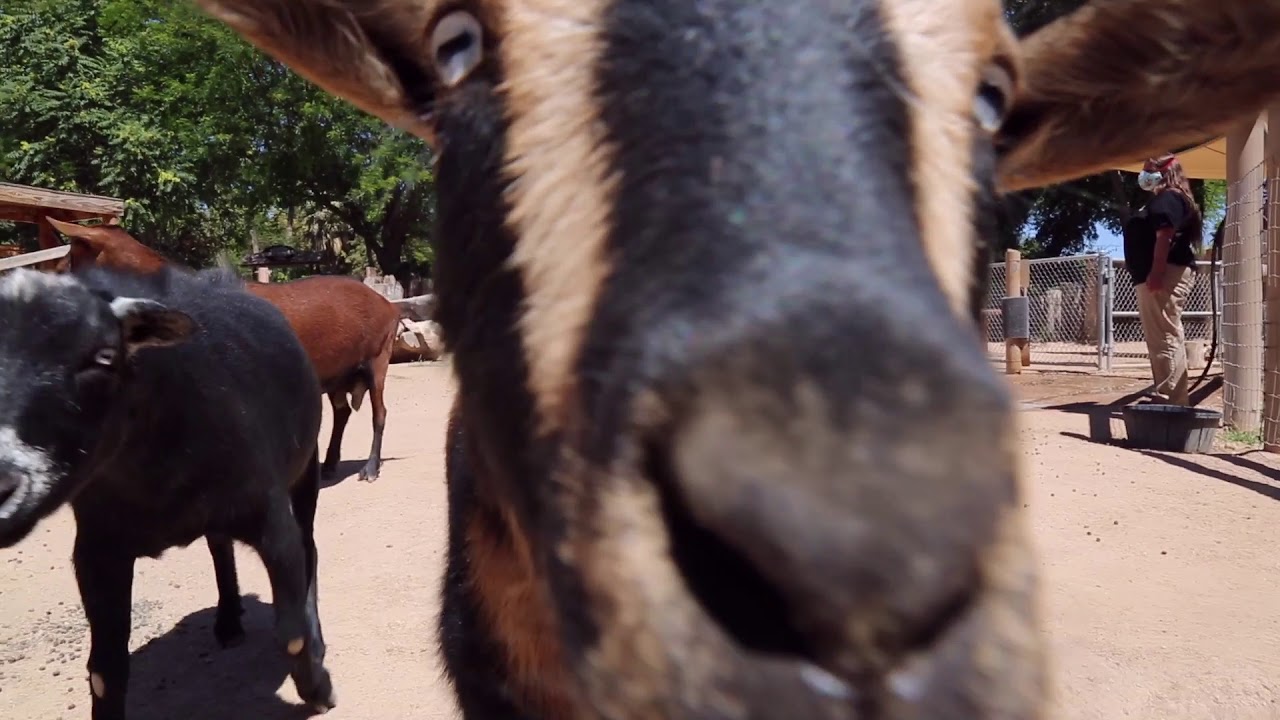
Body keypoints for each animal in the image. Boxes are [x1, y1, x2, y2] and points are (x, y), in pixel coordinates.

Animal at [0, 266, 336, 719]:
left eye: (105, 357)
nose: (0, 486)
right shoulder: (97, 549)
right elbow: (104, 671)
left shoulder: (270, 517)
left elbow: (292, 631)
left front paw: (319, 690)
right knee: (219, 545)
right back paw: (228, 620)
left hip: (305, 468)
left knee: (309, 547)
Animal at [47, 217, 400, 482]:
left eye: (65, 265)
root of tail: (388, 305)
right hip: (340, 373)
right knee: (342, 411)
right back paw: (329, 464)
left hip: (378, 360)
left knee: (380, 412)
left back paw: (370, 468)